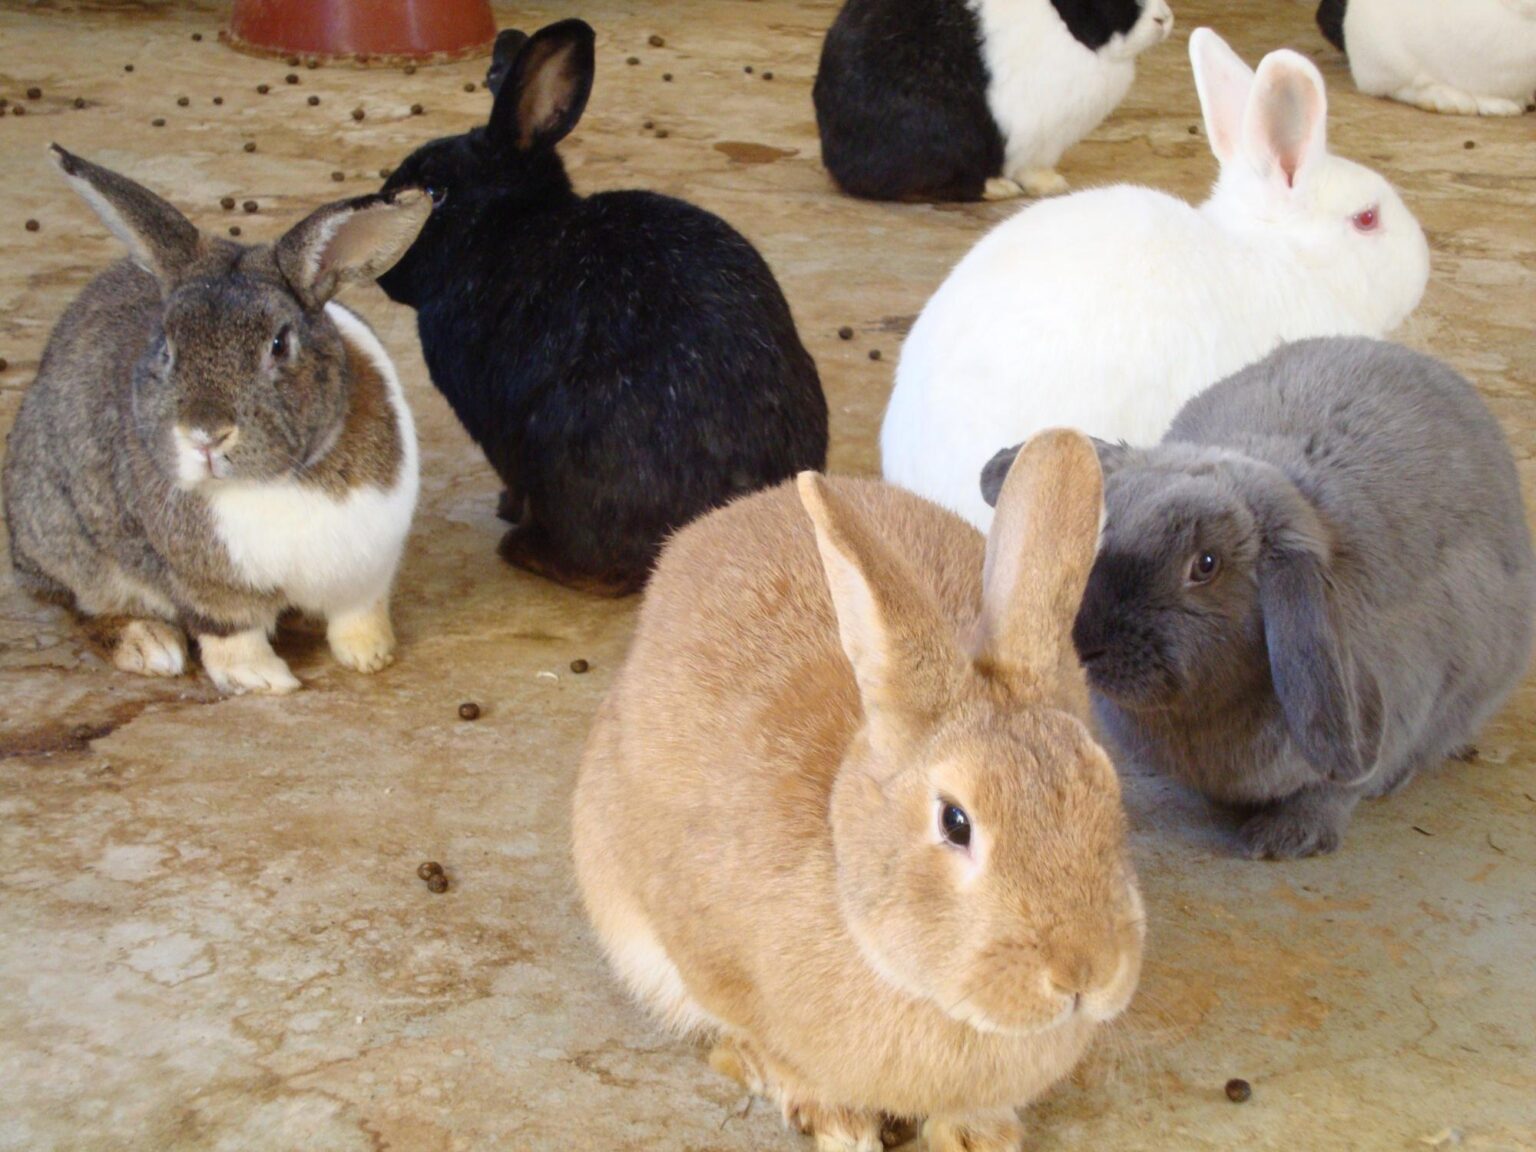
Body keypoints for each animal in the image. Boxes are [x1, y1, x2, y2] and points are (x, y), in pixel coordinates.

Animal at [2, 146, 431, 695]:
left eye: (279, 344)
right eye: (166, 347)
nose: (205, 435)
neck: (280, 480)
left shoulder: (365, 572)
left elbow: (358, 615)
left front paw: (371, 656)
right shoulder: (208, 585)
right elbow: (232, 635)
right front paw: (265, 680)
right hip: (65, 539)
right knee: (79, 606)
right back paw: (149, 645)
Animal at [573, 429, 1145, 1152]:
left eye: (1106, 789)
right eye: (955, 821)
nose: (1083, 974)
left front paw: (977, 1137)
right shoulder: (704, 952)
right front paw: (836, 1121)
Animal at [813, 0, 1174, 202]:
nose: (1164, 19)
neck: (1065, 26)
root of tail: (837, 159)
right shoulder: (1034, 136)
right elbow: (1030, 166)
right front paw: (1051, 185)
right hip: (948, 136)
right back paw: (998, 188)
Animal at [980, 338, 1536, 860]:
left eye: (1205, 565)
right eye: (1098, 527)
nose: (1083, 640)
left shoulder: (1398, 708)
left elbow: (1336, 790)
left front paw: (1283, 839)